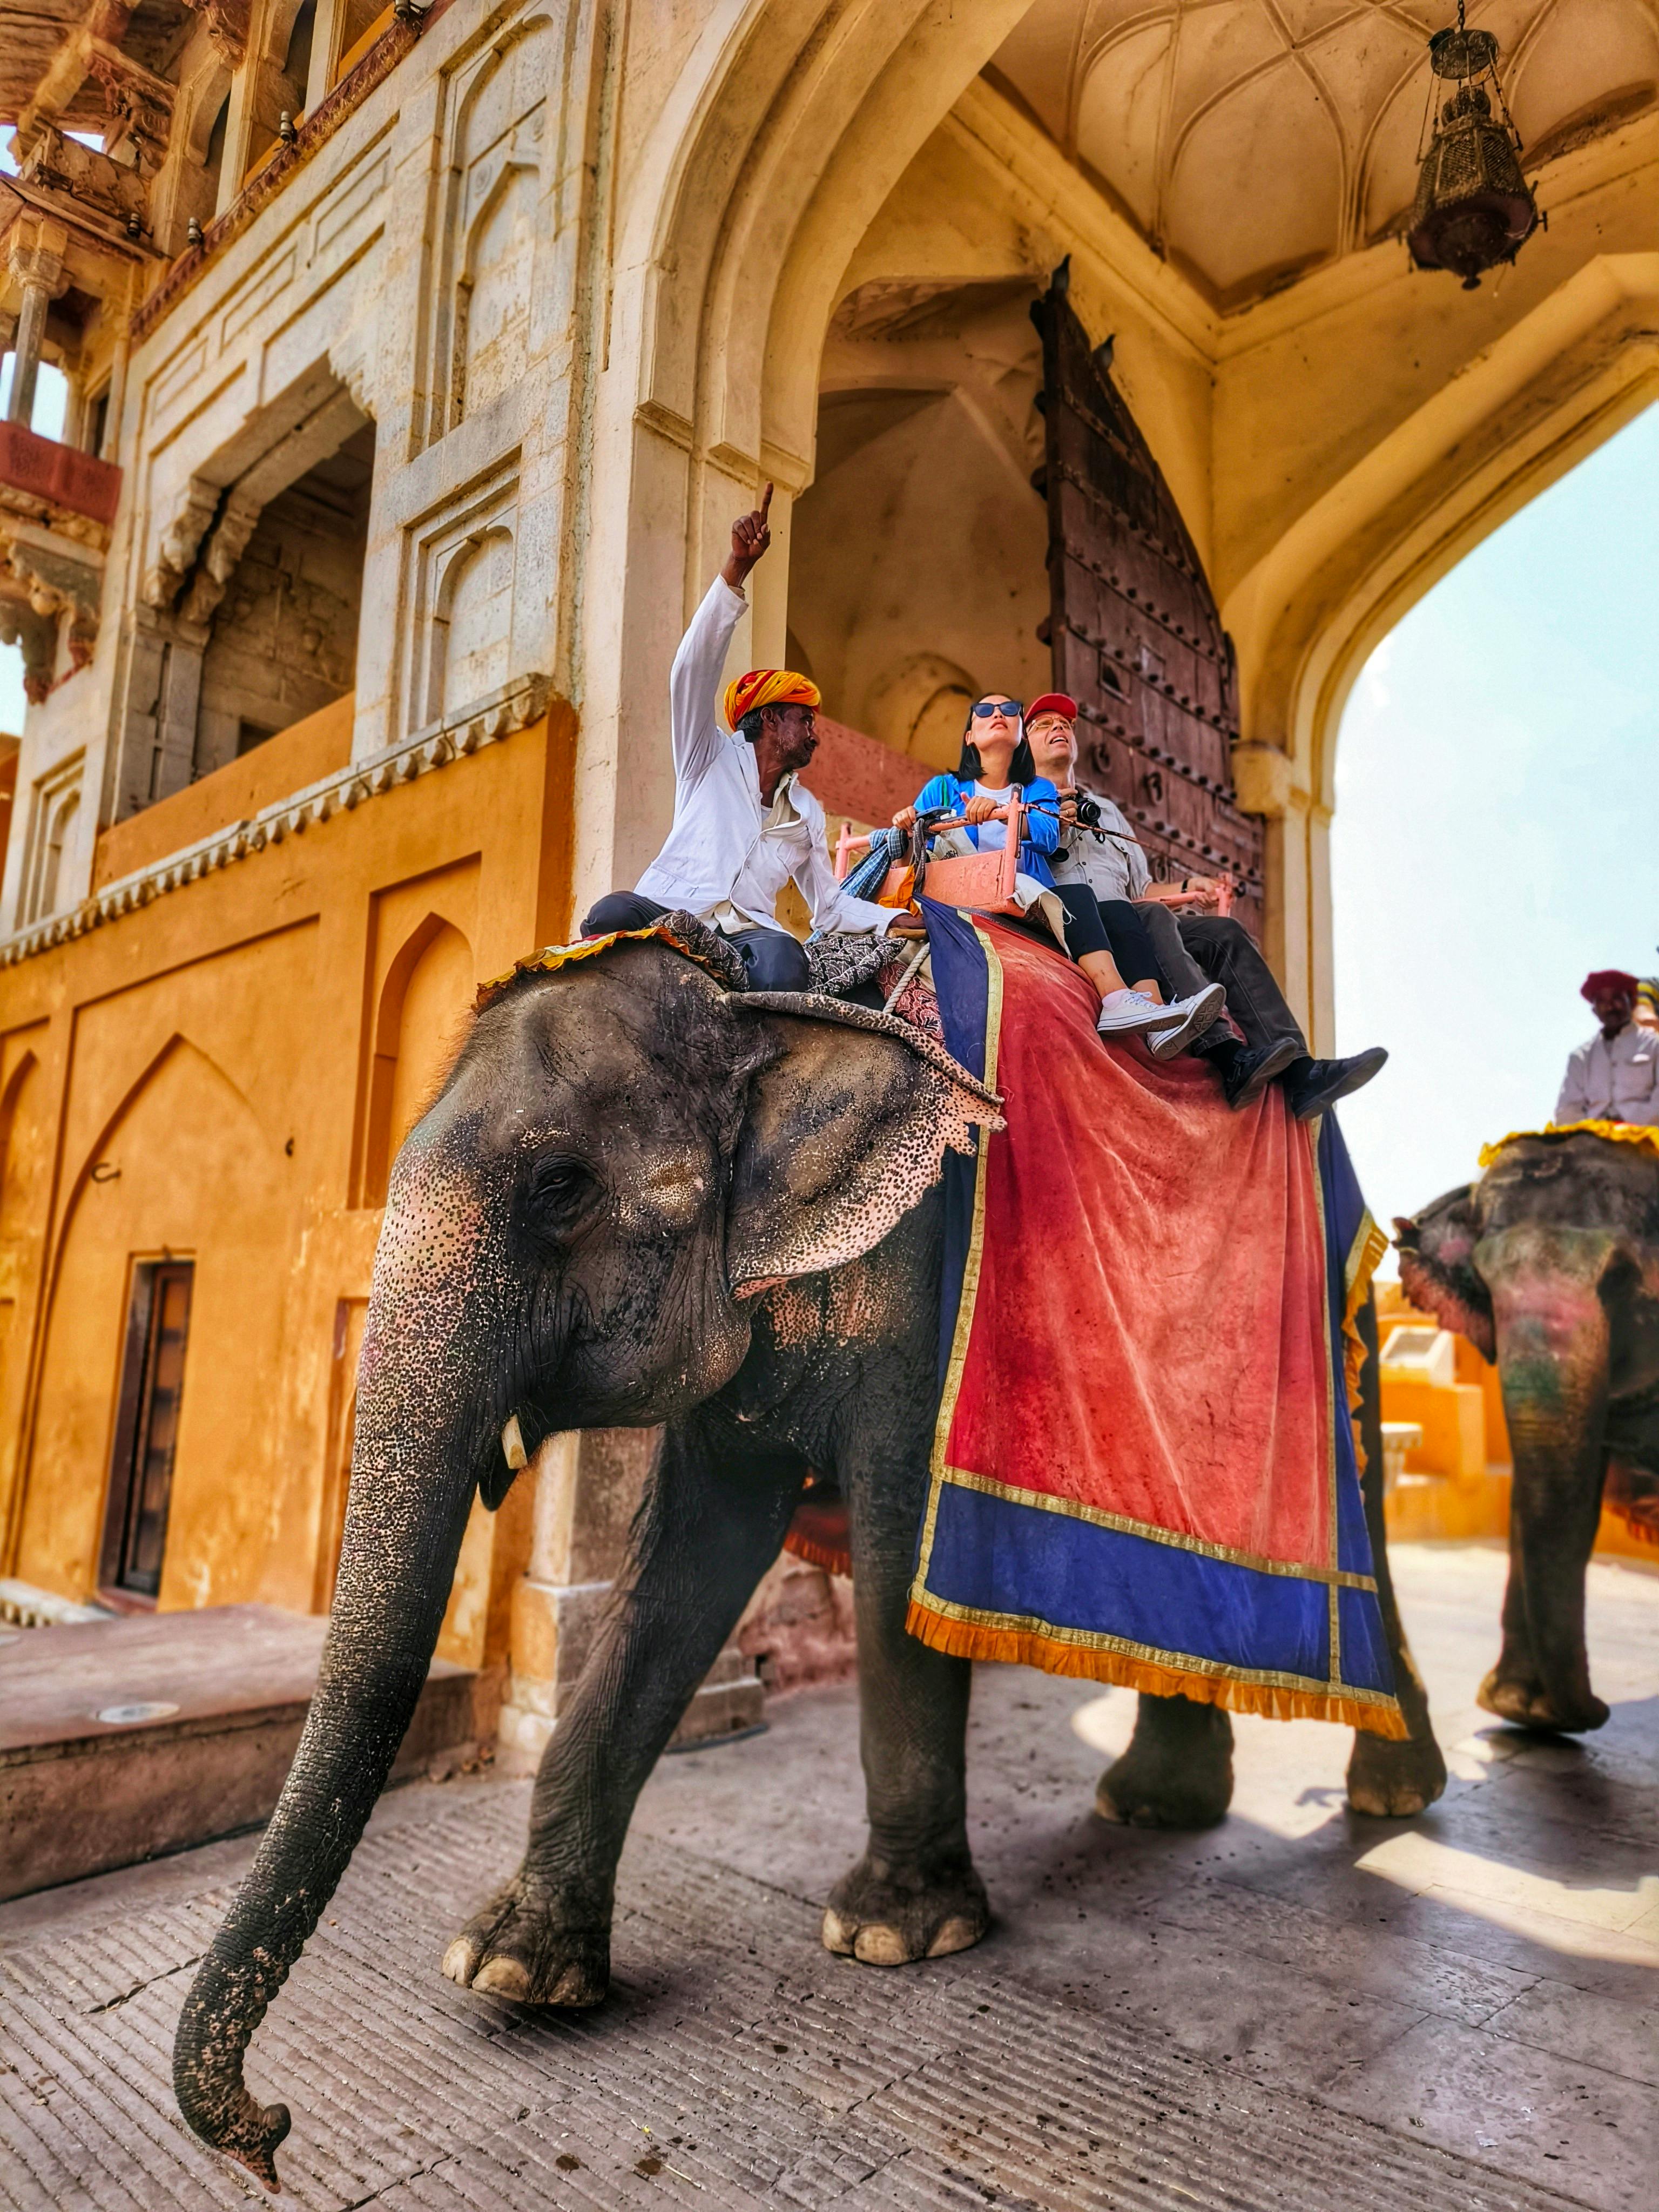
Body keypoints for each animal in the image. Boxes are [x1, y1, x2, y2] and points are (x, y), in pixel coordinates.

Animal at [173, 920, 1446, 2189]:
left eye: (560, 1186)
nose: (271, 2136)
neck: (765, 1009)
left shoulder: (919, 1279)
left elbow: (893, 1550)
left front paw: (896, 1935)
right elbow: (685, 1568)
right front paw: (511, 1972)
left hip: (1340, 1310)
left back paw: (1382, 1795)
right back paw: (1155, 1811)